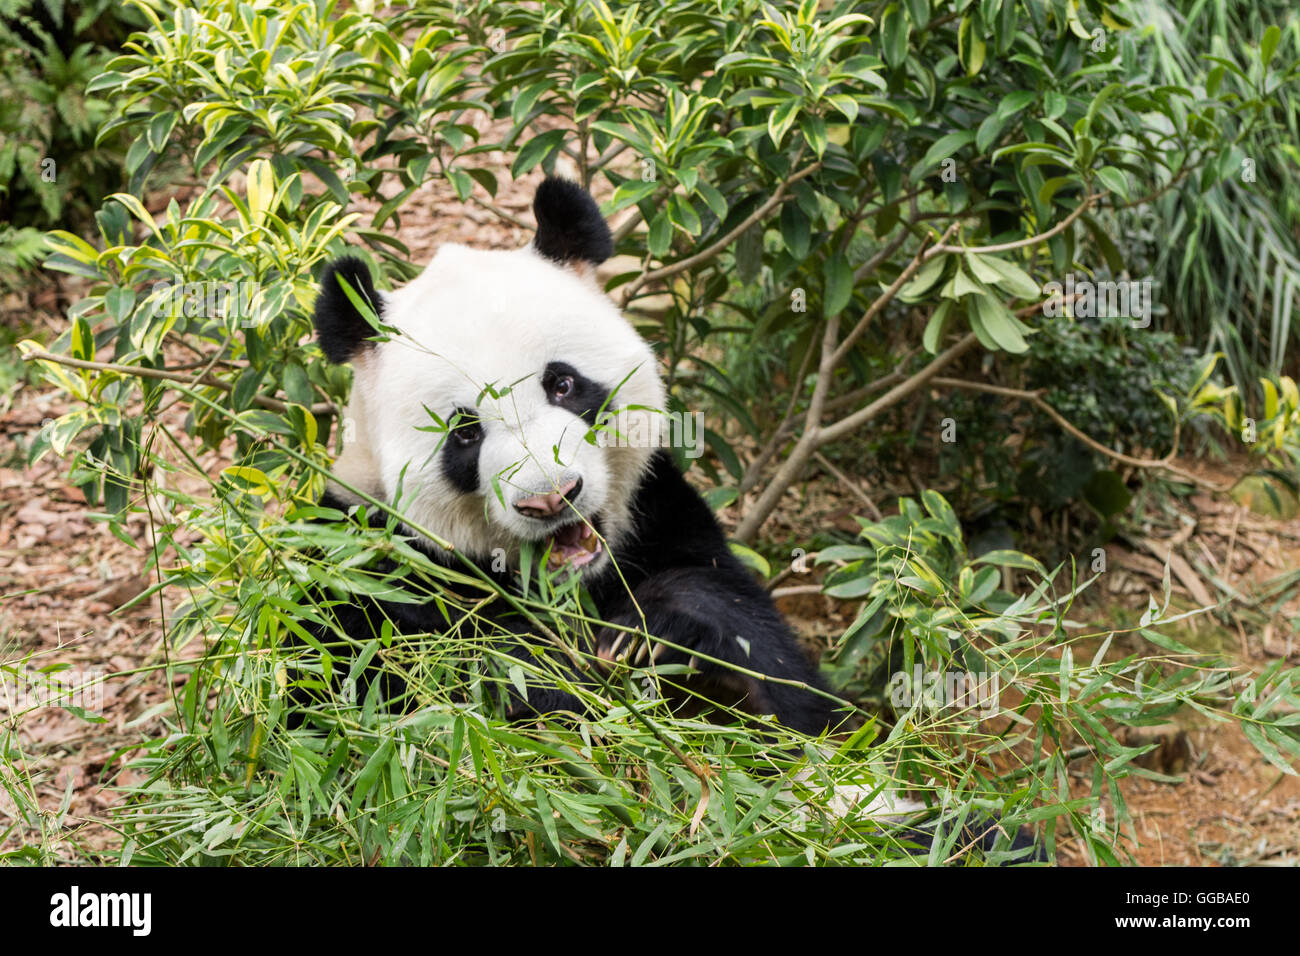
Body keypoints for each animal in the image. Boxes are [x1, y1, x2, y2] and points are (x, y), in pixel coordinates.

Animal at [306, 176, 838, 735]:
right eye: (465, 433)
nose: (551, 499)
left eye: (562, 384)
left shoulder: (661, 515)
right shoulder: (369, 574)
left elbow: (781, 677)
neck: (570, 588)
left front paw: (653, 642)